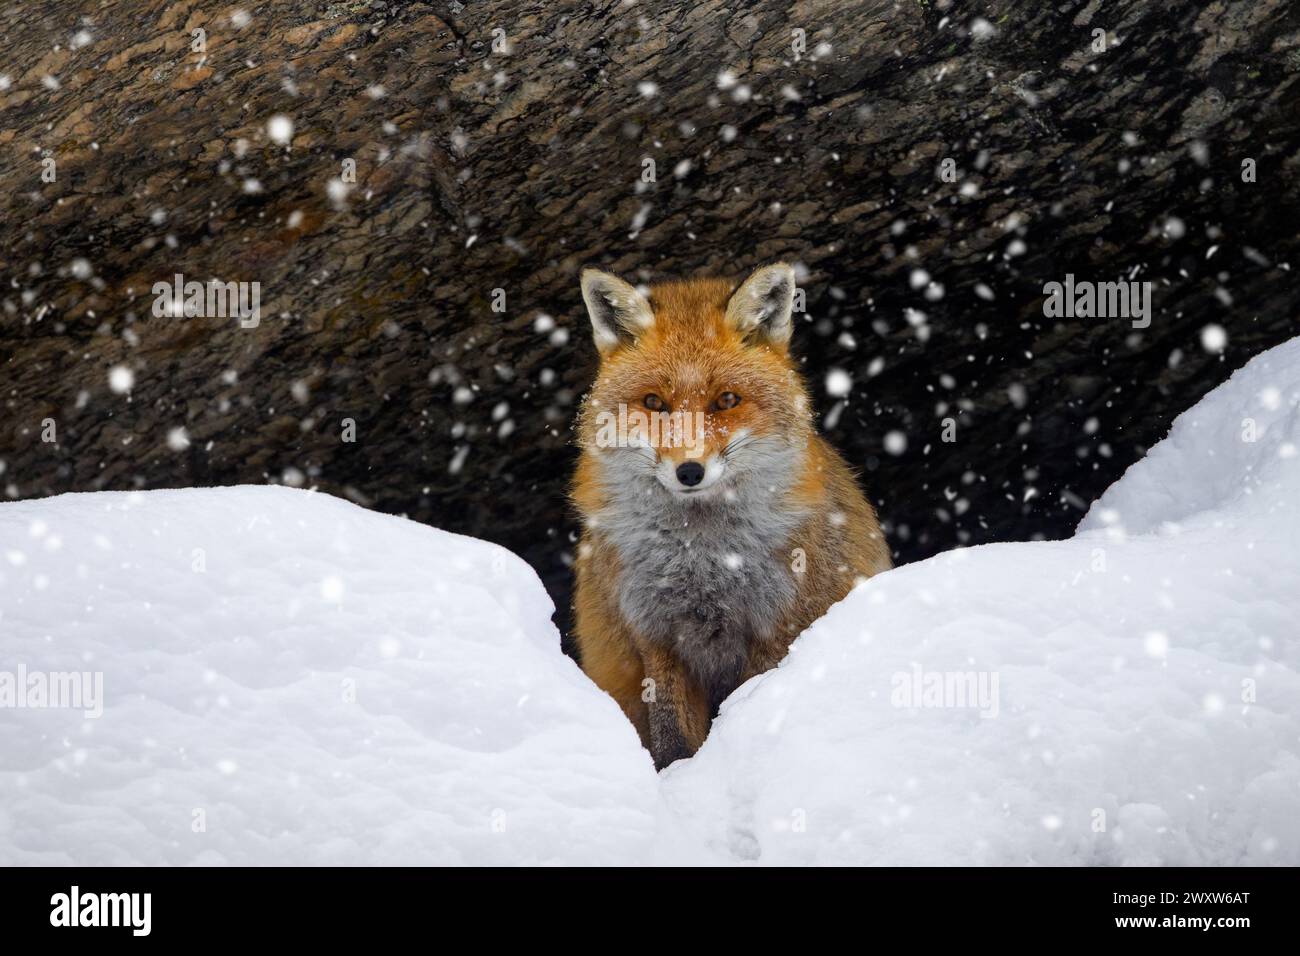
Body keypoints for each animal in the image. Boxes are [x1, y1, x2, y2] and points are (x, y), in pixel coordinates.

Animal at [571, 262, 892, 770]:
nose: (689, 471)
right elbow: (672, 739)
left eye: (726, 400)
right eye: (654, 403)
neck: (702, 556)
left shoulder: (775, 624)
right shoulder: (655, 634)